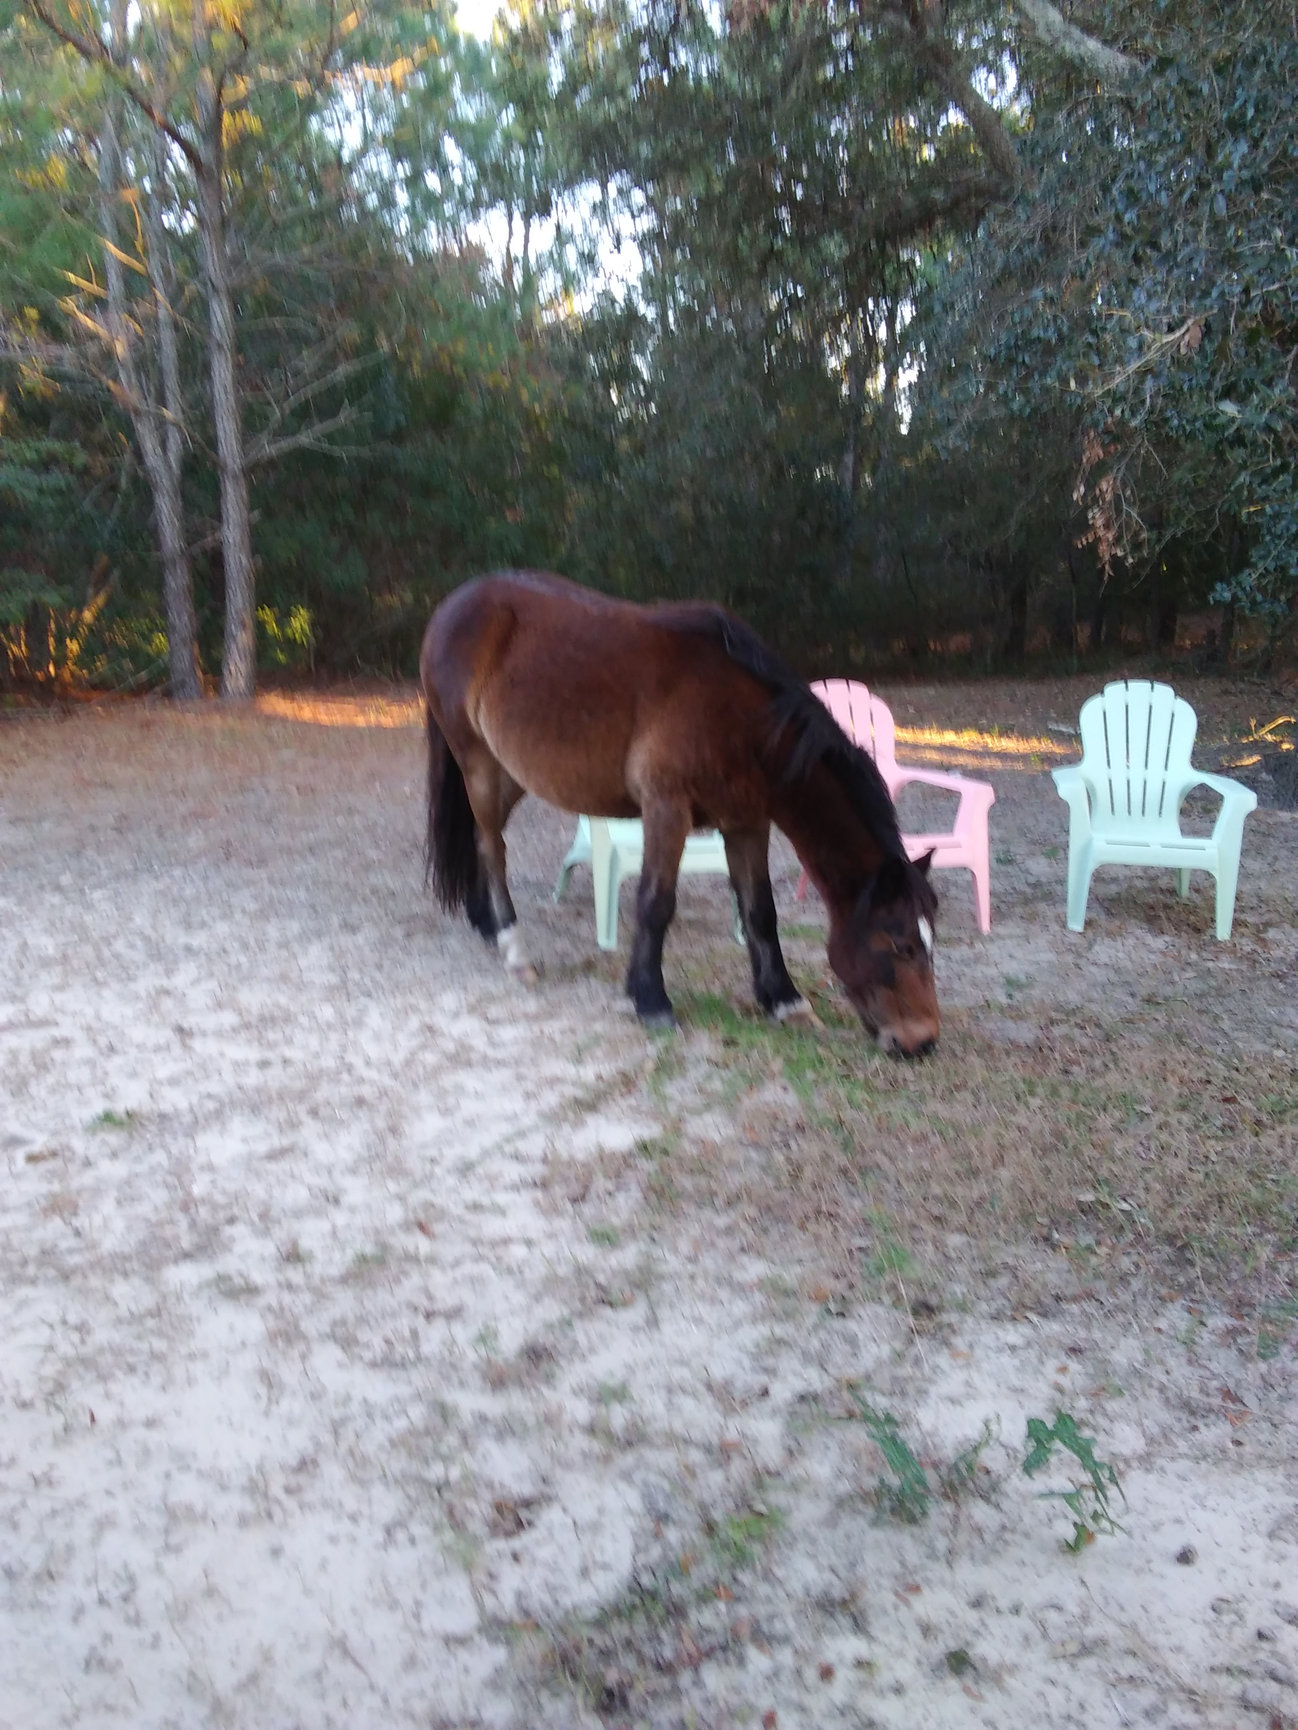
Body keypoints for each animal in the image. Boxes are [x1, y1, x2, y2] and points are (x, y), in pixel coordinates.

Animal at [419, 571, 940, 1057]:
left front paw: (783, 1000)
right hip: (478, 764)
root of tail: (453, 605)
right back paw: (514, 949)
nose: (923, 1042)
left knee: (479, 840)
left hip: (511, 772)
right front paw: (650, 1000)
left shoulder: (747, 823)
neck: (743, 722)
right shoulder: (666, 810)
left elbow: (760, 911)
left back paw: (486, 922)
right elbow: (656, 904)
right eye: (901, 945)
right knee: (491, 846)